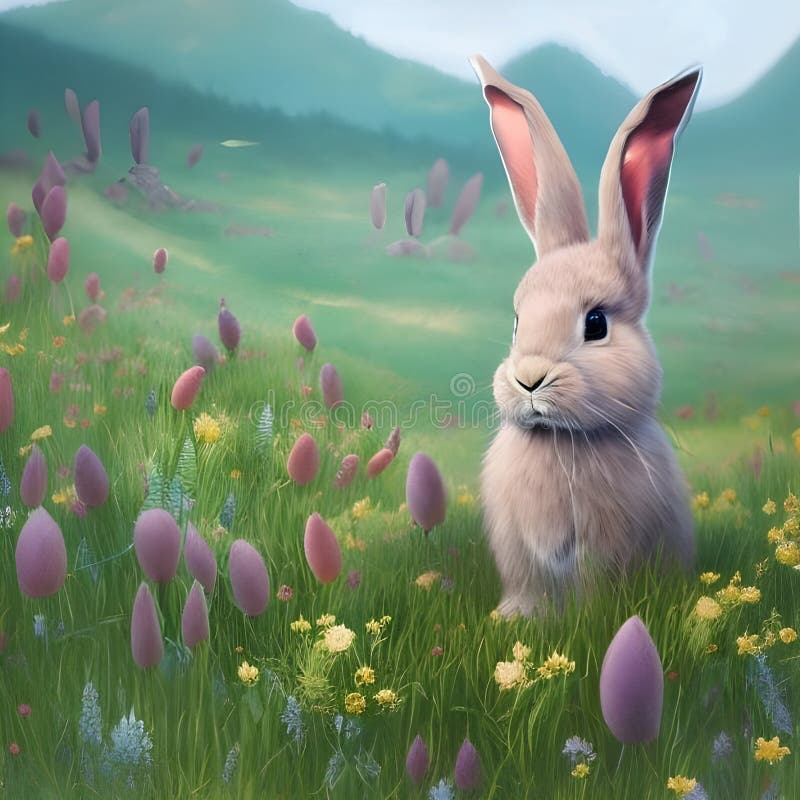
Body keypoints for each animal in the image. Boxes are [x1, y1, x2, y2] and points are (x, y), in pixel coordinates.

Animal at [470, 55, 700, 617]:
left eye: (596, 324)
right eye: (517, 322)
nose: (530, 379)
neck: (561, 441)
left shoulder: (609, 544)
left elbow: (597, 593)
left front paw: (598, 622)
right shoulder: (519, 549)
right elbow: (529, 587)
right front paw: (513, 618)